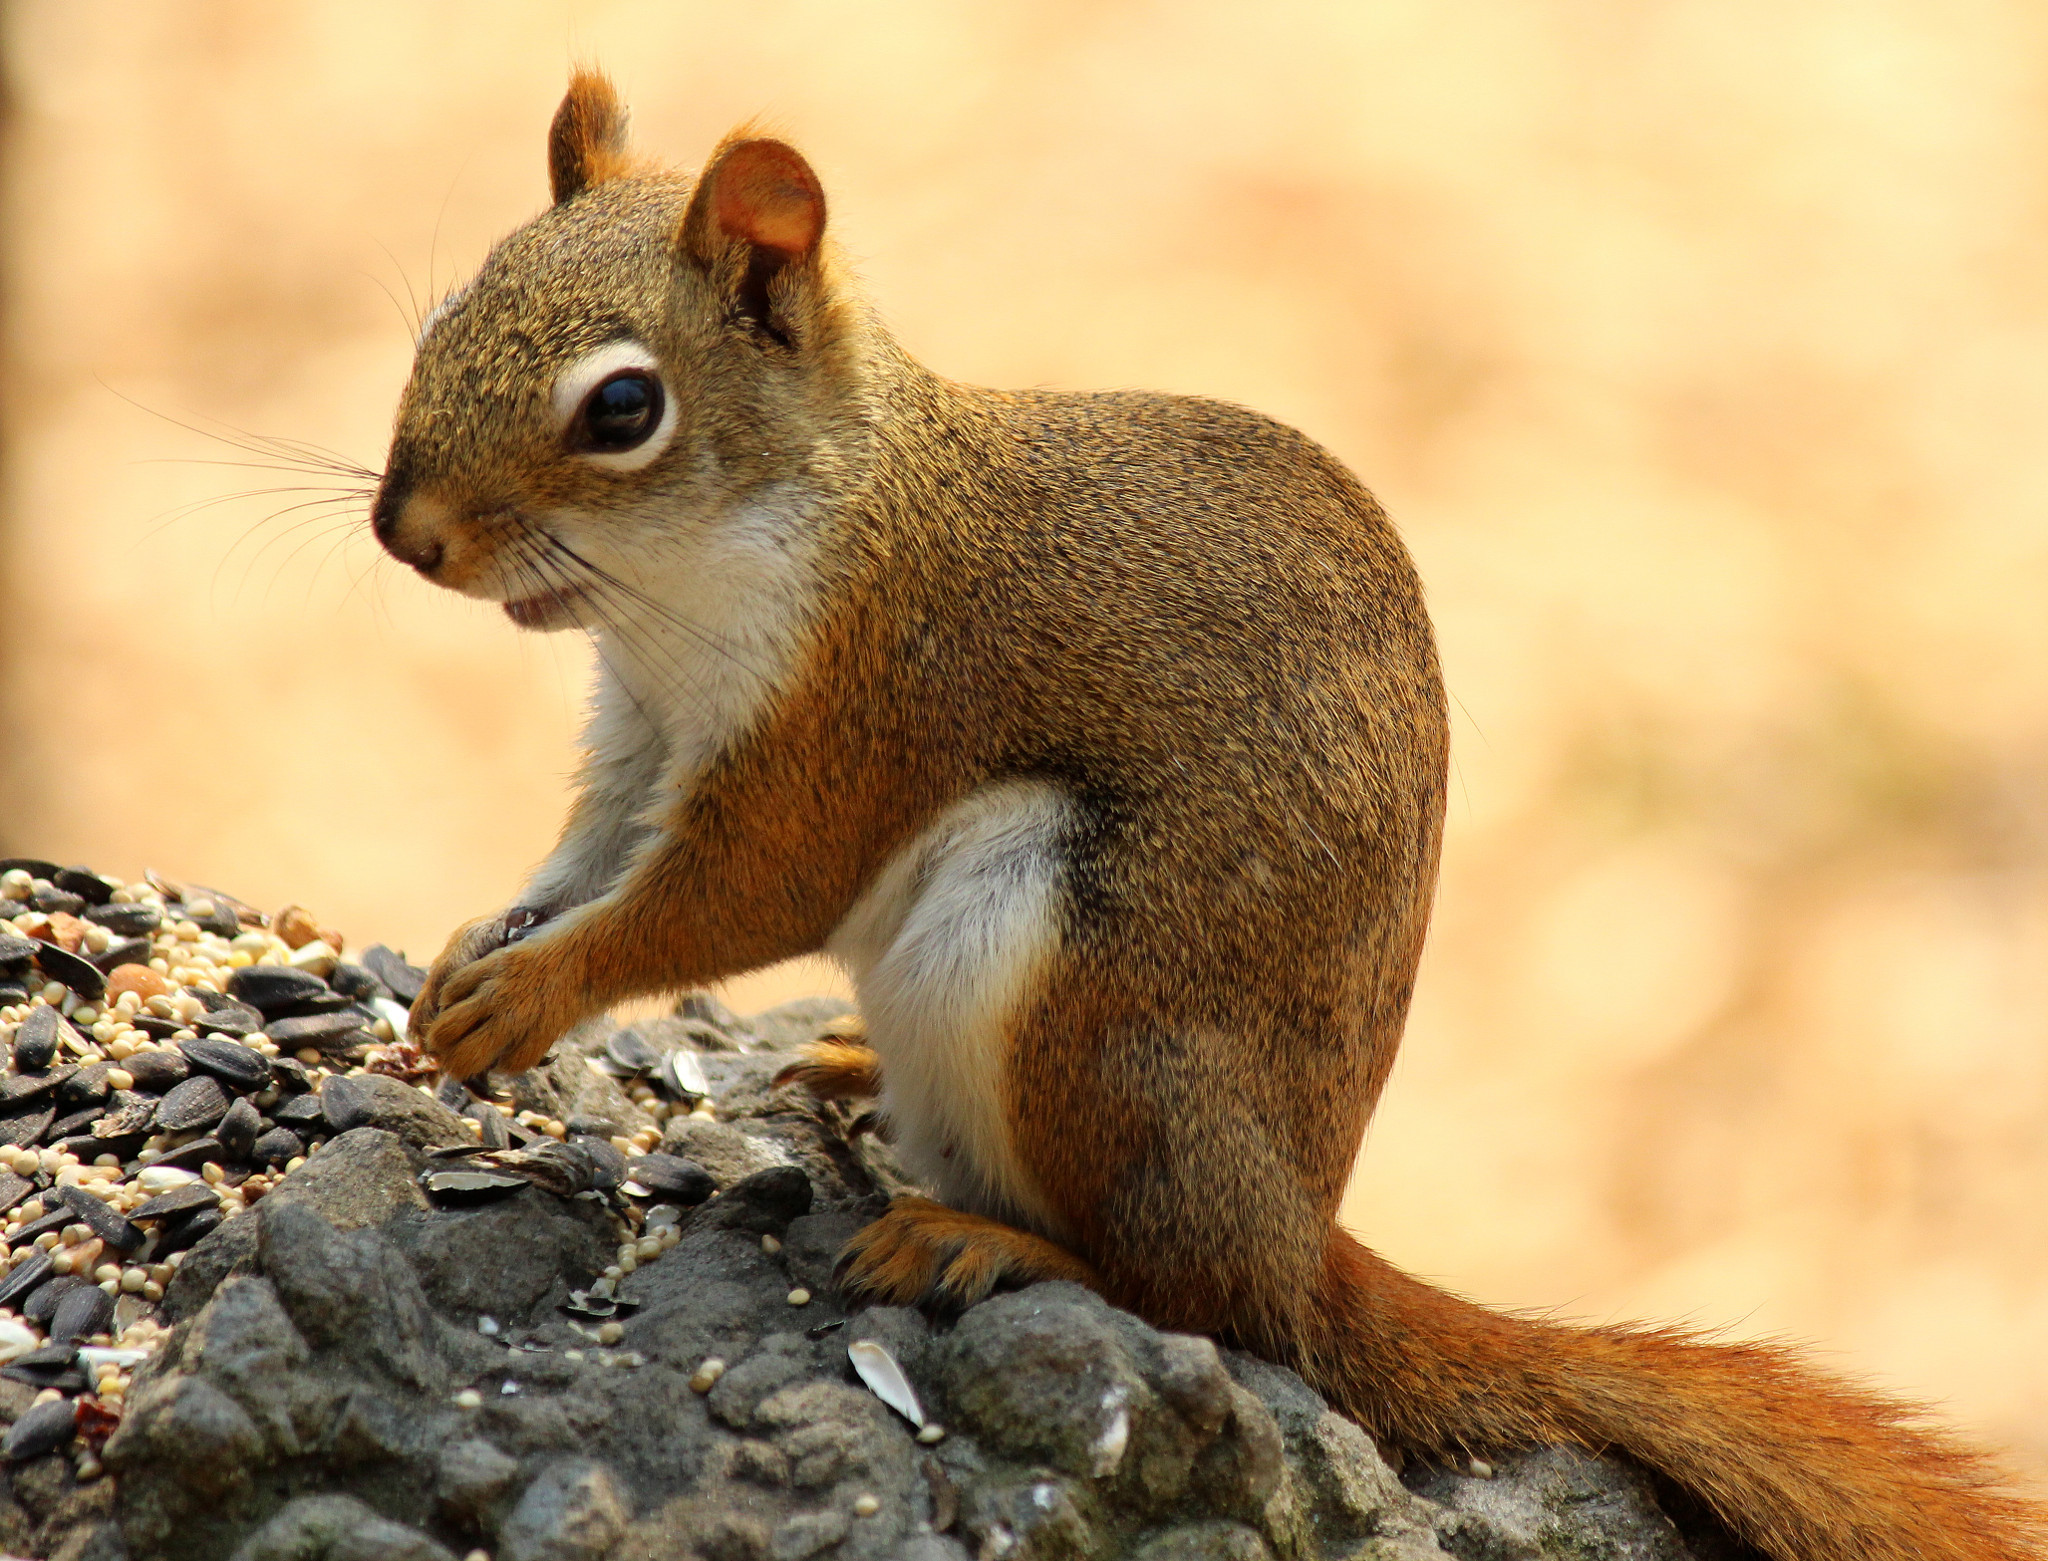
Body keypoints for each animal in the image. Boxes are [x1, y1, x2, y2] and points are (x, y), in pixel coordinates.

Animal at [369, 71, 2042, 1561]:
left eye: (623, 407)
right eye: (448, 315)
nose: (404, 533)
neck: (720, 572)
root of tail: (1305, 1236)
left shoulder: (870, 702)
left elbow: (724, 899)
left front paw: (536, 989)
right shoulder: (641, 743)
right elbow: (583, 860)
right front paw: (471, 955)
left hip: (1067, 992)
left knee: (1194, 1301)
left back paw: (990, 1237)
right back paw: (856, 1070)